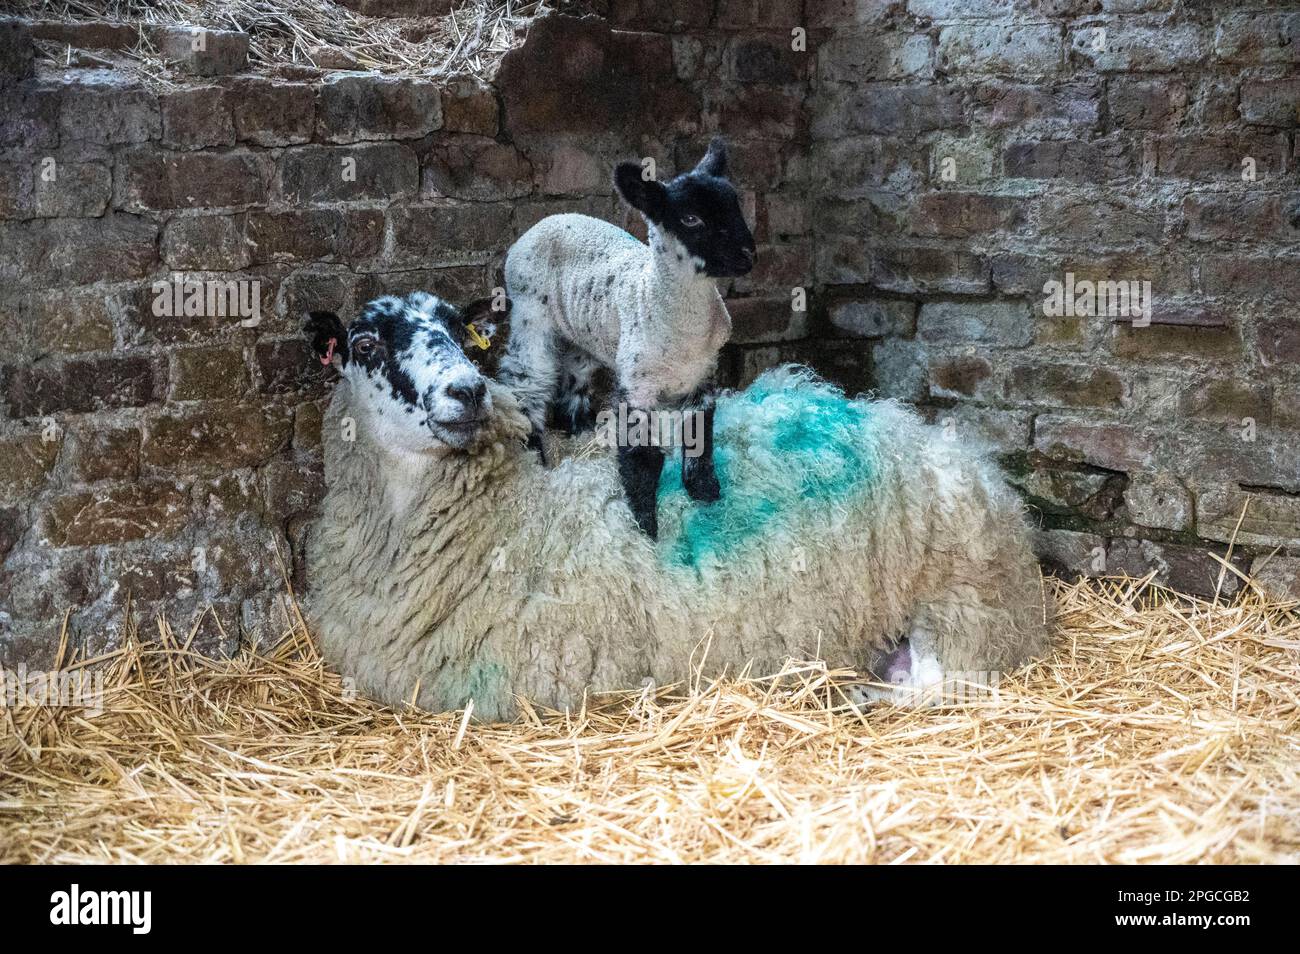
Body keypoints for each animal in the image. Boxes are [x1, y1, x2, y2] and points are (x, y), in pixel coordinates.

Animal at [304, 292, 1052, 723]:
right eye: (365, 345)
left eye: (464, 336)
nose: (467, 391)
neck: (515, 514)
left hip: (962, 608)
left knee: (940, 685)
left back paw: (856, 694)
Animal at [497, 138, 756, 539]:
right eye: (691, 219)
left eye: (735, 205)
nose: (748, 254)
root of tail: (546, 220)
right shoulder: (638, 385)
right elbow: (643, 459)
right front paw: (645, 527)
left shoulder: (703, 377)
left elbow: (701, 439)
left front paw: (708, 499)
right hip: (529, 312)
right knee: (526, 381)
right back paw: (537, 454)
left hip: (586, 333)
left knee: (575, 375)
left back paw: (579, 430)